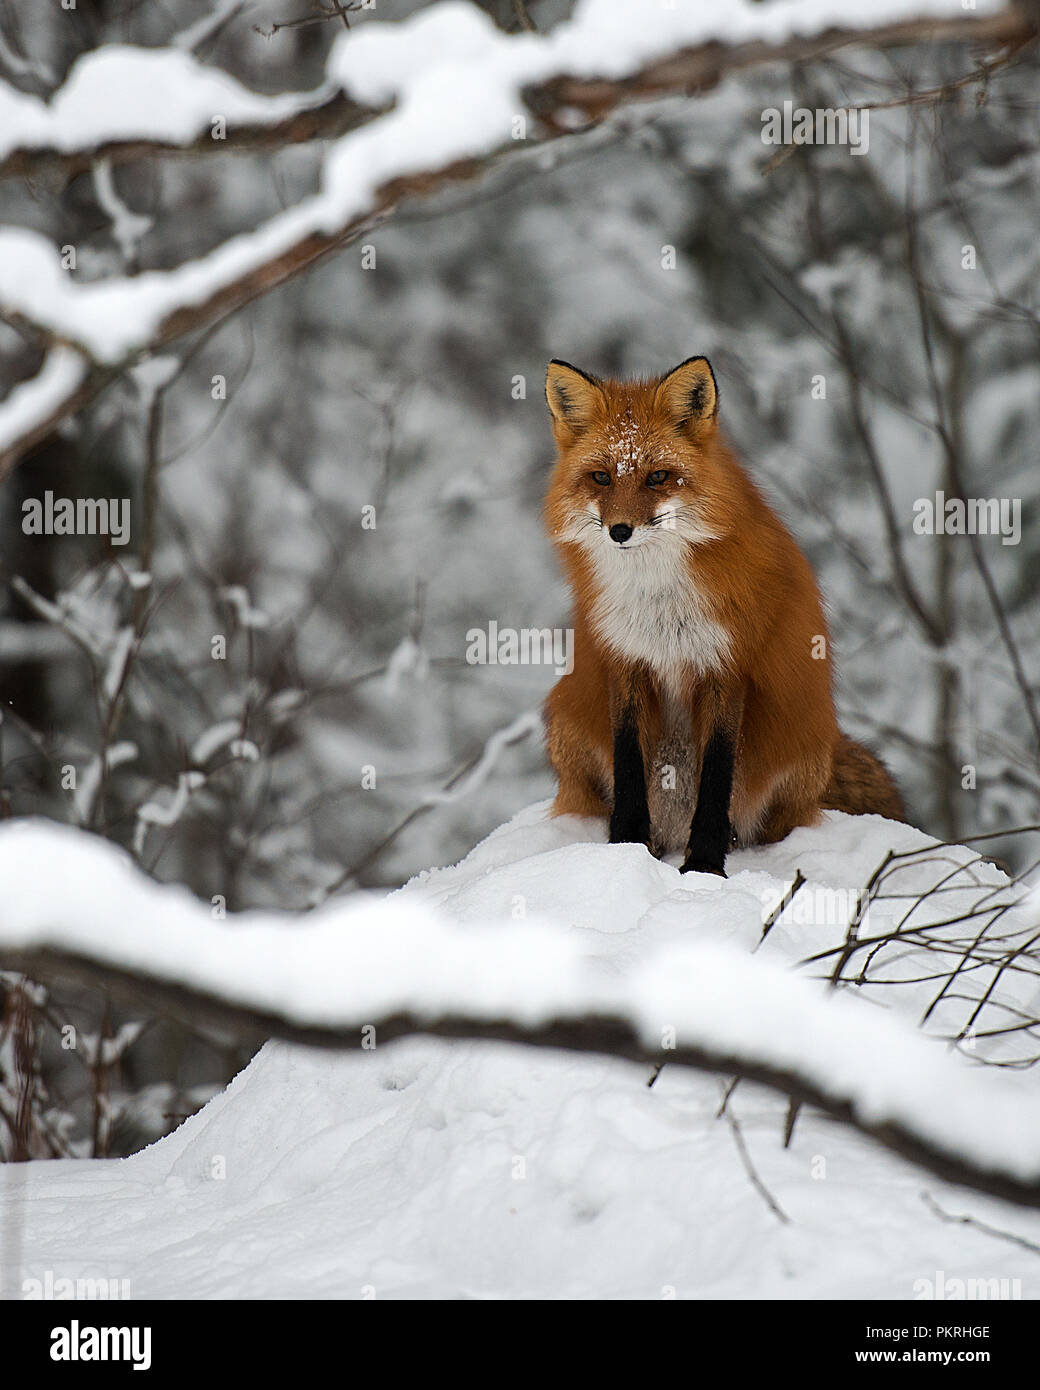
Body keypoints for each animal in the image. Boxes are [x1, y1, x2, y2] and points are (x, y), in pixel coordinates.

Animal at [542, 355, 904, 877]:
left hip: (802, 744)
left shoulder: (726, 668)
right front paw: (626, 849)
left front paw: (705, 866)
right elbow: (629, 769)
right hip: (565, 718)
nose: (619, 531)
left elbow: (716, 779)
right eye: (602, 478)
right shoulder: (626, 662)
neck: (659, 599)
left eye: (657, 477)